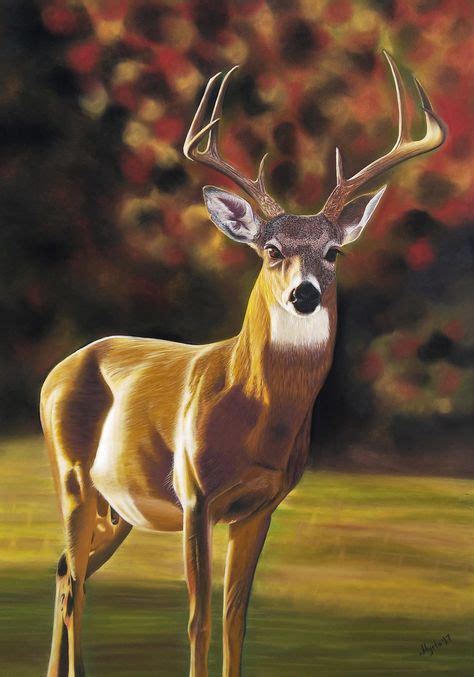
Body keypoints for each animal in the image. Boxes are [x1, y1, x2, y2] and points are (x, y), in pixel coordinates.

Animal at [40, 51, 445, 677]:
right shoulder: (195, 495)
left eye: (333, 251)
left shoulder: (261, 507)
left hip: (116, 508)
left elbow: (236, 620)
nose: (304, 294)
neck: (256, 413)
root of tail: (55, 372)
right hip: (72, 476)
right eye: (271, 251)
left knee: (66, 573)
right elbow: (198, 620)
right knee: (72, 580)